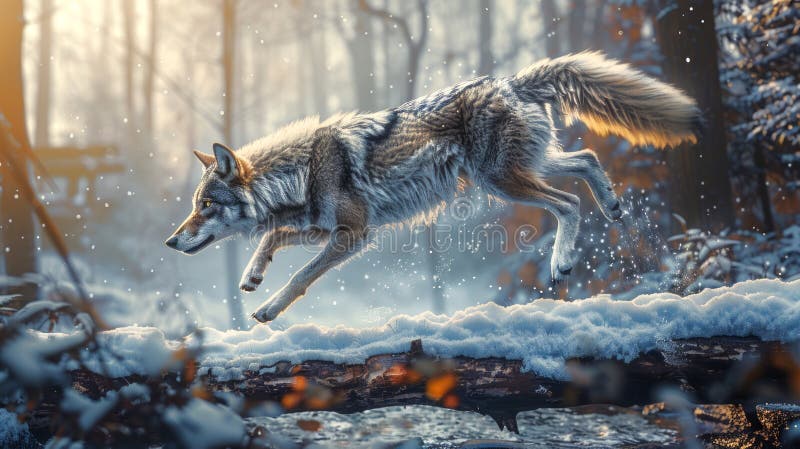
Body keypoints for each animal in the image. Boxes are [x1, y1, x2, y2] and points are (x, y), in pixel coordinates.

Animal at [165, 52, 700, 324]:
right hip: (524, 169)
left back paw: (561, 261)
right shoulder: (321, 228)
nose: (170, 242)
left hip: (504, 182)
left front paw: (267, 308)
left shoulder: (353, 235)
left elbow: (300, 277)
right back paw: (612, 206)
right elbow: (272, 237)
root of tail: (511, 82)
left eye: (207, 205)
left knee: (567, 203)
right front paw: (252, 277)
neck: (300, 172)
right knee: (587, 159)